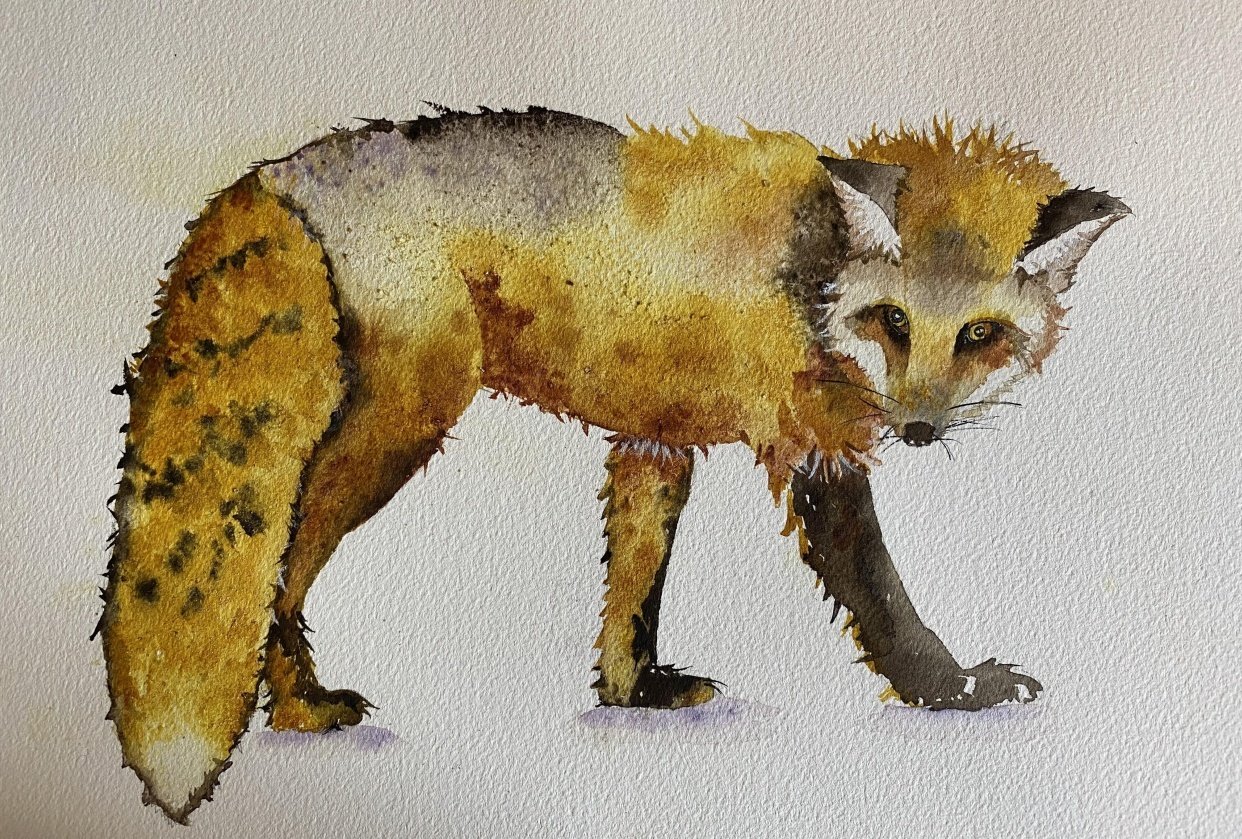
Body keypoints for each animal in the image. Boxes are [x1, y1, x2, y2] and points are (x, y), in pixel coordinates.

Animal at [97, 106, 1129, 822]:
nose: (913, 430)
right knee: (280, 566)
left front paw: (636, 693)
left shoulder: (653, 442)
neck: (814, 268)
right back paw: (303, 707)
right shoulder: (817, 444)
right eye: (896, 322)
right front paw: (952, 690)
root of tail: (277, 173)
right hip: (398, 432)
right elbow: (883, 598)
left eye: (982, 334)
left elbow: (633, 589)